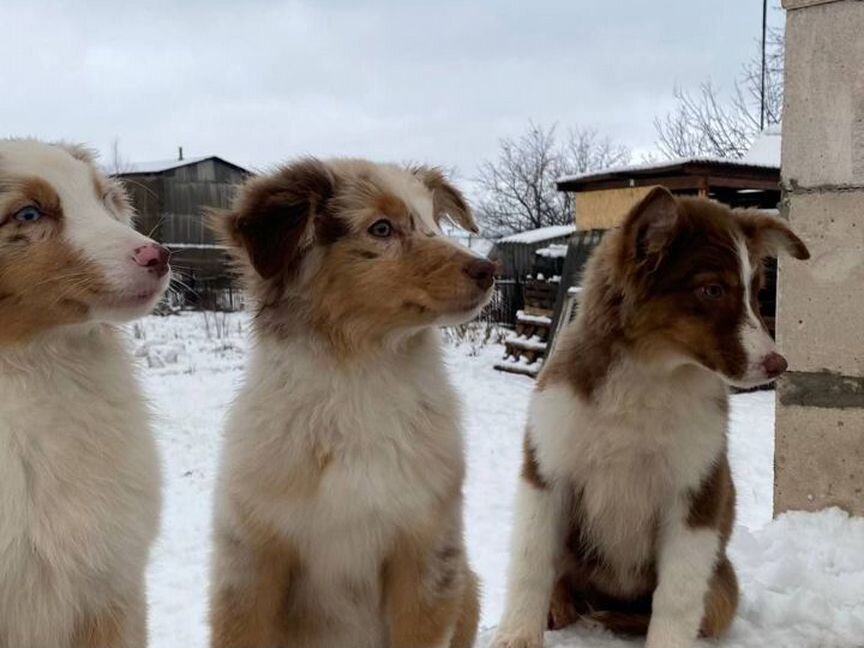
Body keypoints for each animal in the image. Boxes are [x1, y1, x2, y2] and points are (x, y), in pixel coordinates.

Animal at [492, 187, 808, 648]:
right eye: (712, 290)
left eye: (756, 291)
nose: (778, 364)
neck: (649, 375)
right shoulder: (548, 472)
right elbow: (531, 563)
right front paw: (518, 635)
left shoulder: (696, 493)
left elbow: (676, 596)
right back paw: (561, 606)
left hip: (723, 583)